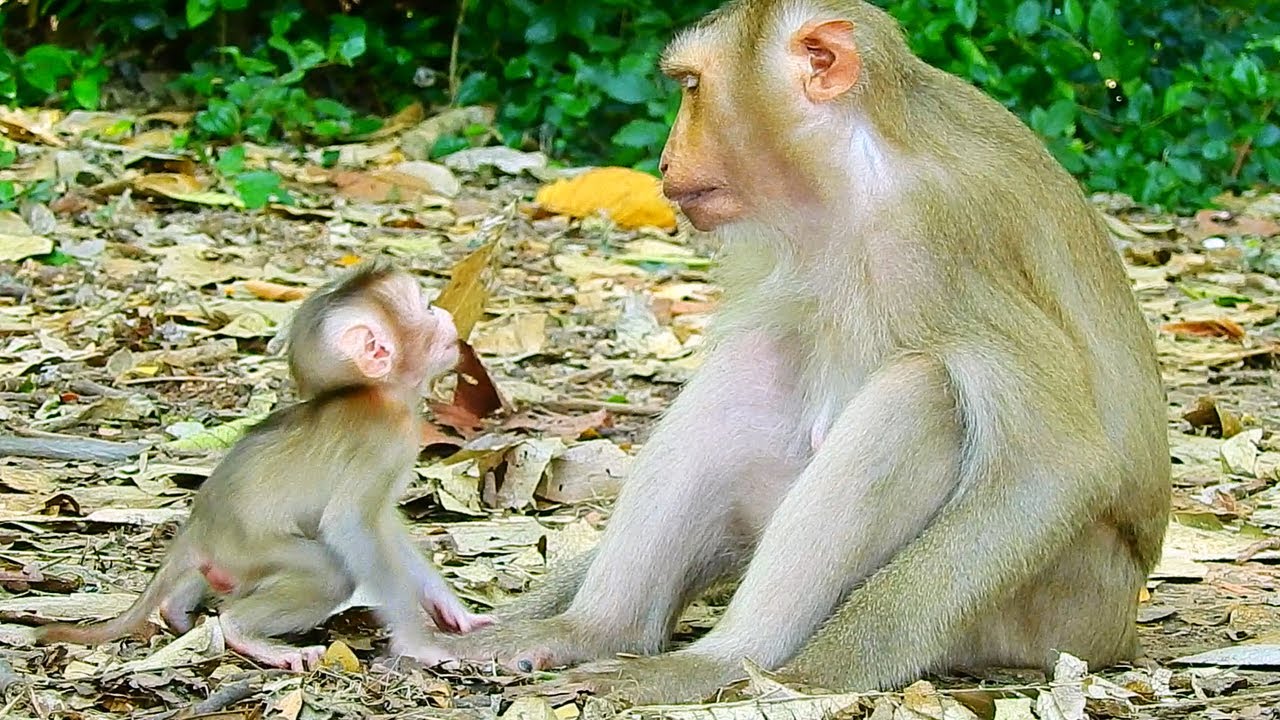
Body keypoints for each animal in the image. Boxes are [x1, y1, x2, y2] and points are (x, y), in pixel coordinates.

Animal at [37, 261, 492, 671]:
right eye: (427, 308)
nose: (446, 315)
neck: (376, 393)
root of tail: (198, 527)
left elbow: (384, 526)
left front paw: (449, 607)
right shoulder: (385, 440)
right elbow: (352, 527)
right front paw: (419, 643)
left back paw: (176, 612)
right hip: (249, 549)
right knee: (328, 573)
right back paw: (241, 632)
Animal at [433, 0, 1171, 705]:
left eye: (693, 88)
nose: (665, 161)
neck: (858, 163)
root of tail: (1122, 626)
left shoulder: (946, 239)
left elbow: (1056, 467)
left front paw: (823, 673)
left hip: (1052, 606)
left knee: (922, 394)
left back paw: (726, 659)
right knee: (756, 359)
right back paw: (593, 628)